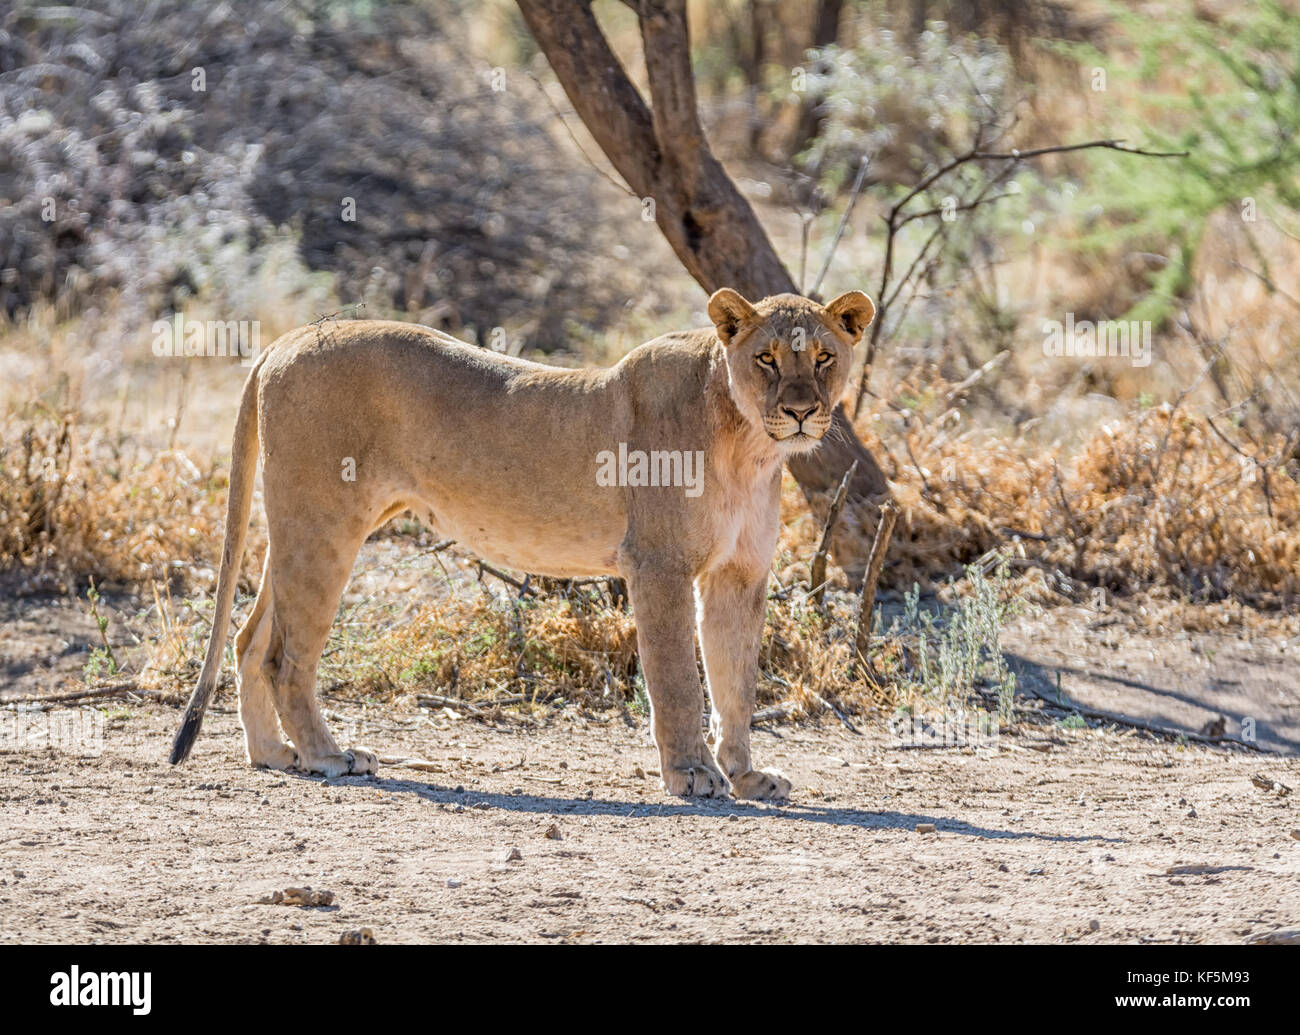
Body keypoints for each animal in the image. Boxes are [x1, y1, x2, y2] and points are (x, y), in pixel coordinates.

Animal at [169, 288, 875, 799]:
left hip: (299, 526)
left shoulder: (739, 575)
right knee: (285, 657)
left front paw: (748, 776)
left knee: (249, 639)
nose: (801, 412)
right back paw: (327, 756)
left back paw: (273, 755)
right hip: (324, 524)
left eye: (822, 358)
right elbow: (679, 679)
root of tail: (283, 341)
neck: (750, 447)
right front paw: (694, 775)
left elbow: (736, 683)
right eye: (766, 359)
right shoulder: (660, 567)